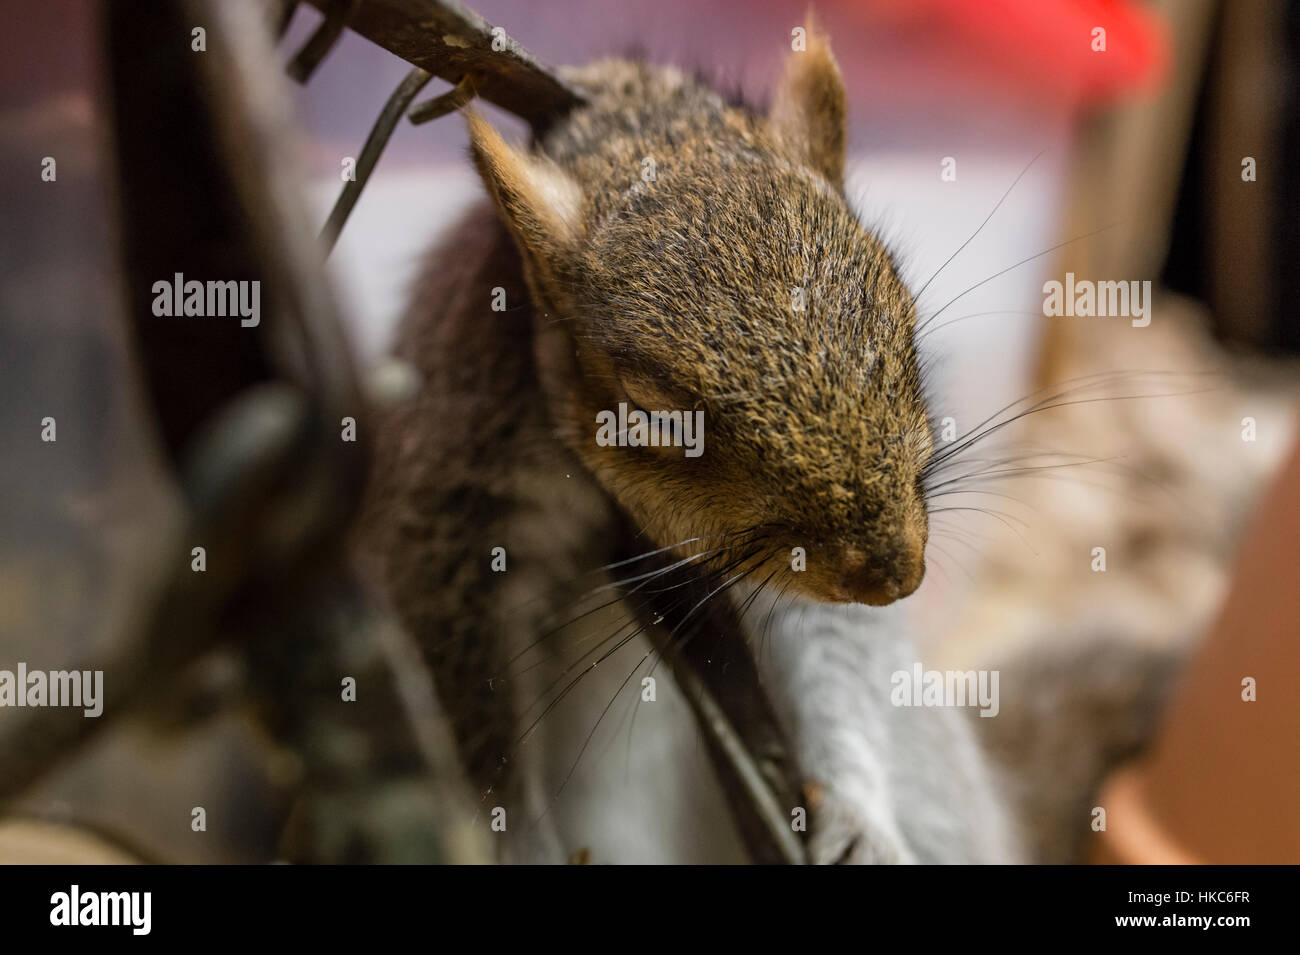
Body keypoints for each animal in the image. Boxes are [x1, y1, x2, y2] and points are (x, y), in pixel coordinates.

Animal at [361, 25, 1021, 862]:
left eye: (903, 317)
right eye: (656, 411)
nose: (895, 576)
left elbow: (833, 654)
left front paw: (856, 820)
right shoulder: (456, 502)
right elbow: (472, 714)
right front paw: (519, 841)